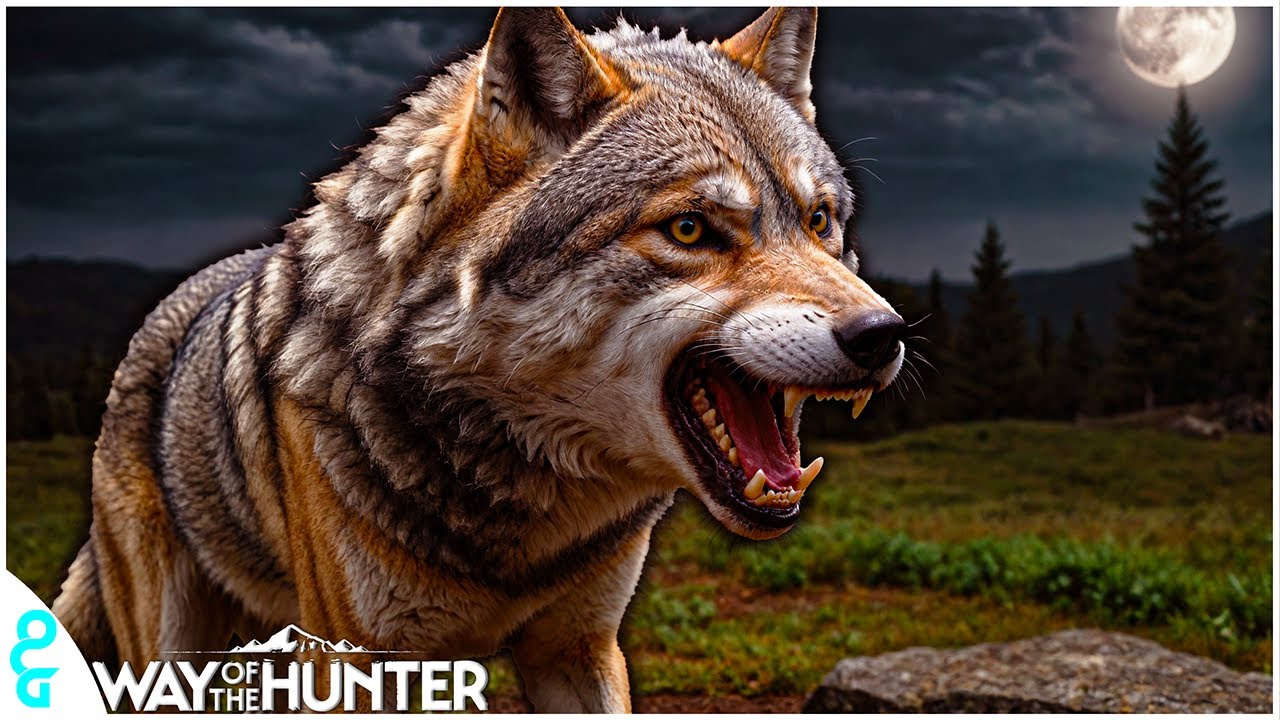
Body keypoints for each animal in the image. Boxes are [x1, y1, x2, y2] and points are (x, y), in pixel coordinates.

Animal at [52, 6, 905, 712]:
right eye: (691, 229)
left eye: (820, 221)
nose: (884, 335)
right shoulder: (360, 667)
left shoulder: (579, 648)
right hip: (172, 652)